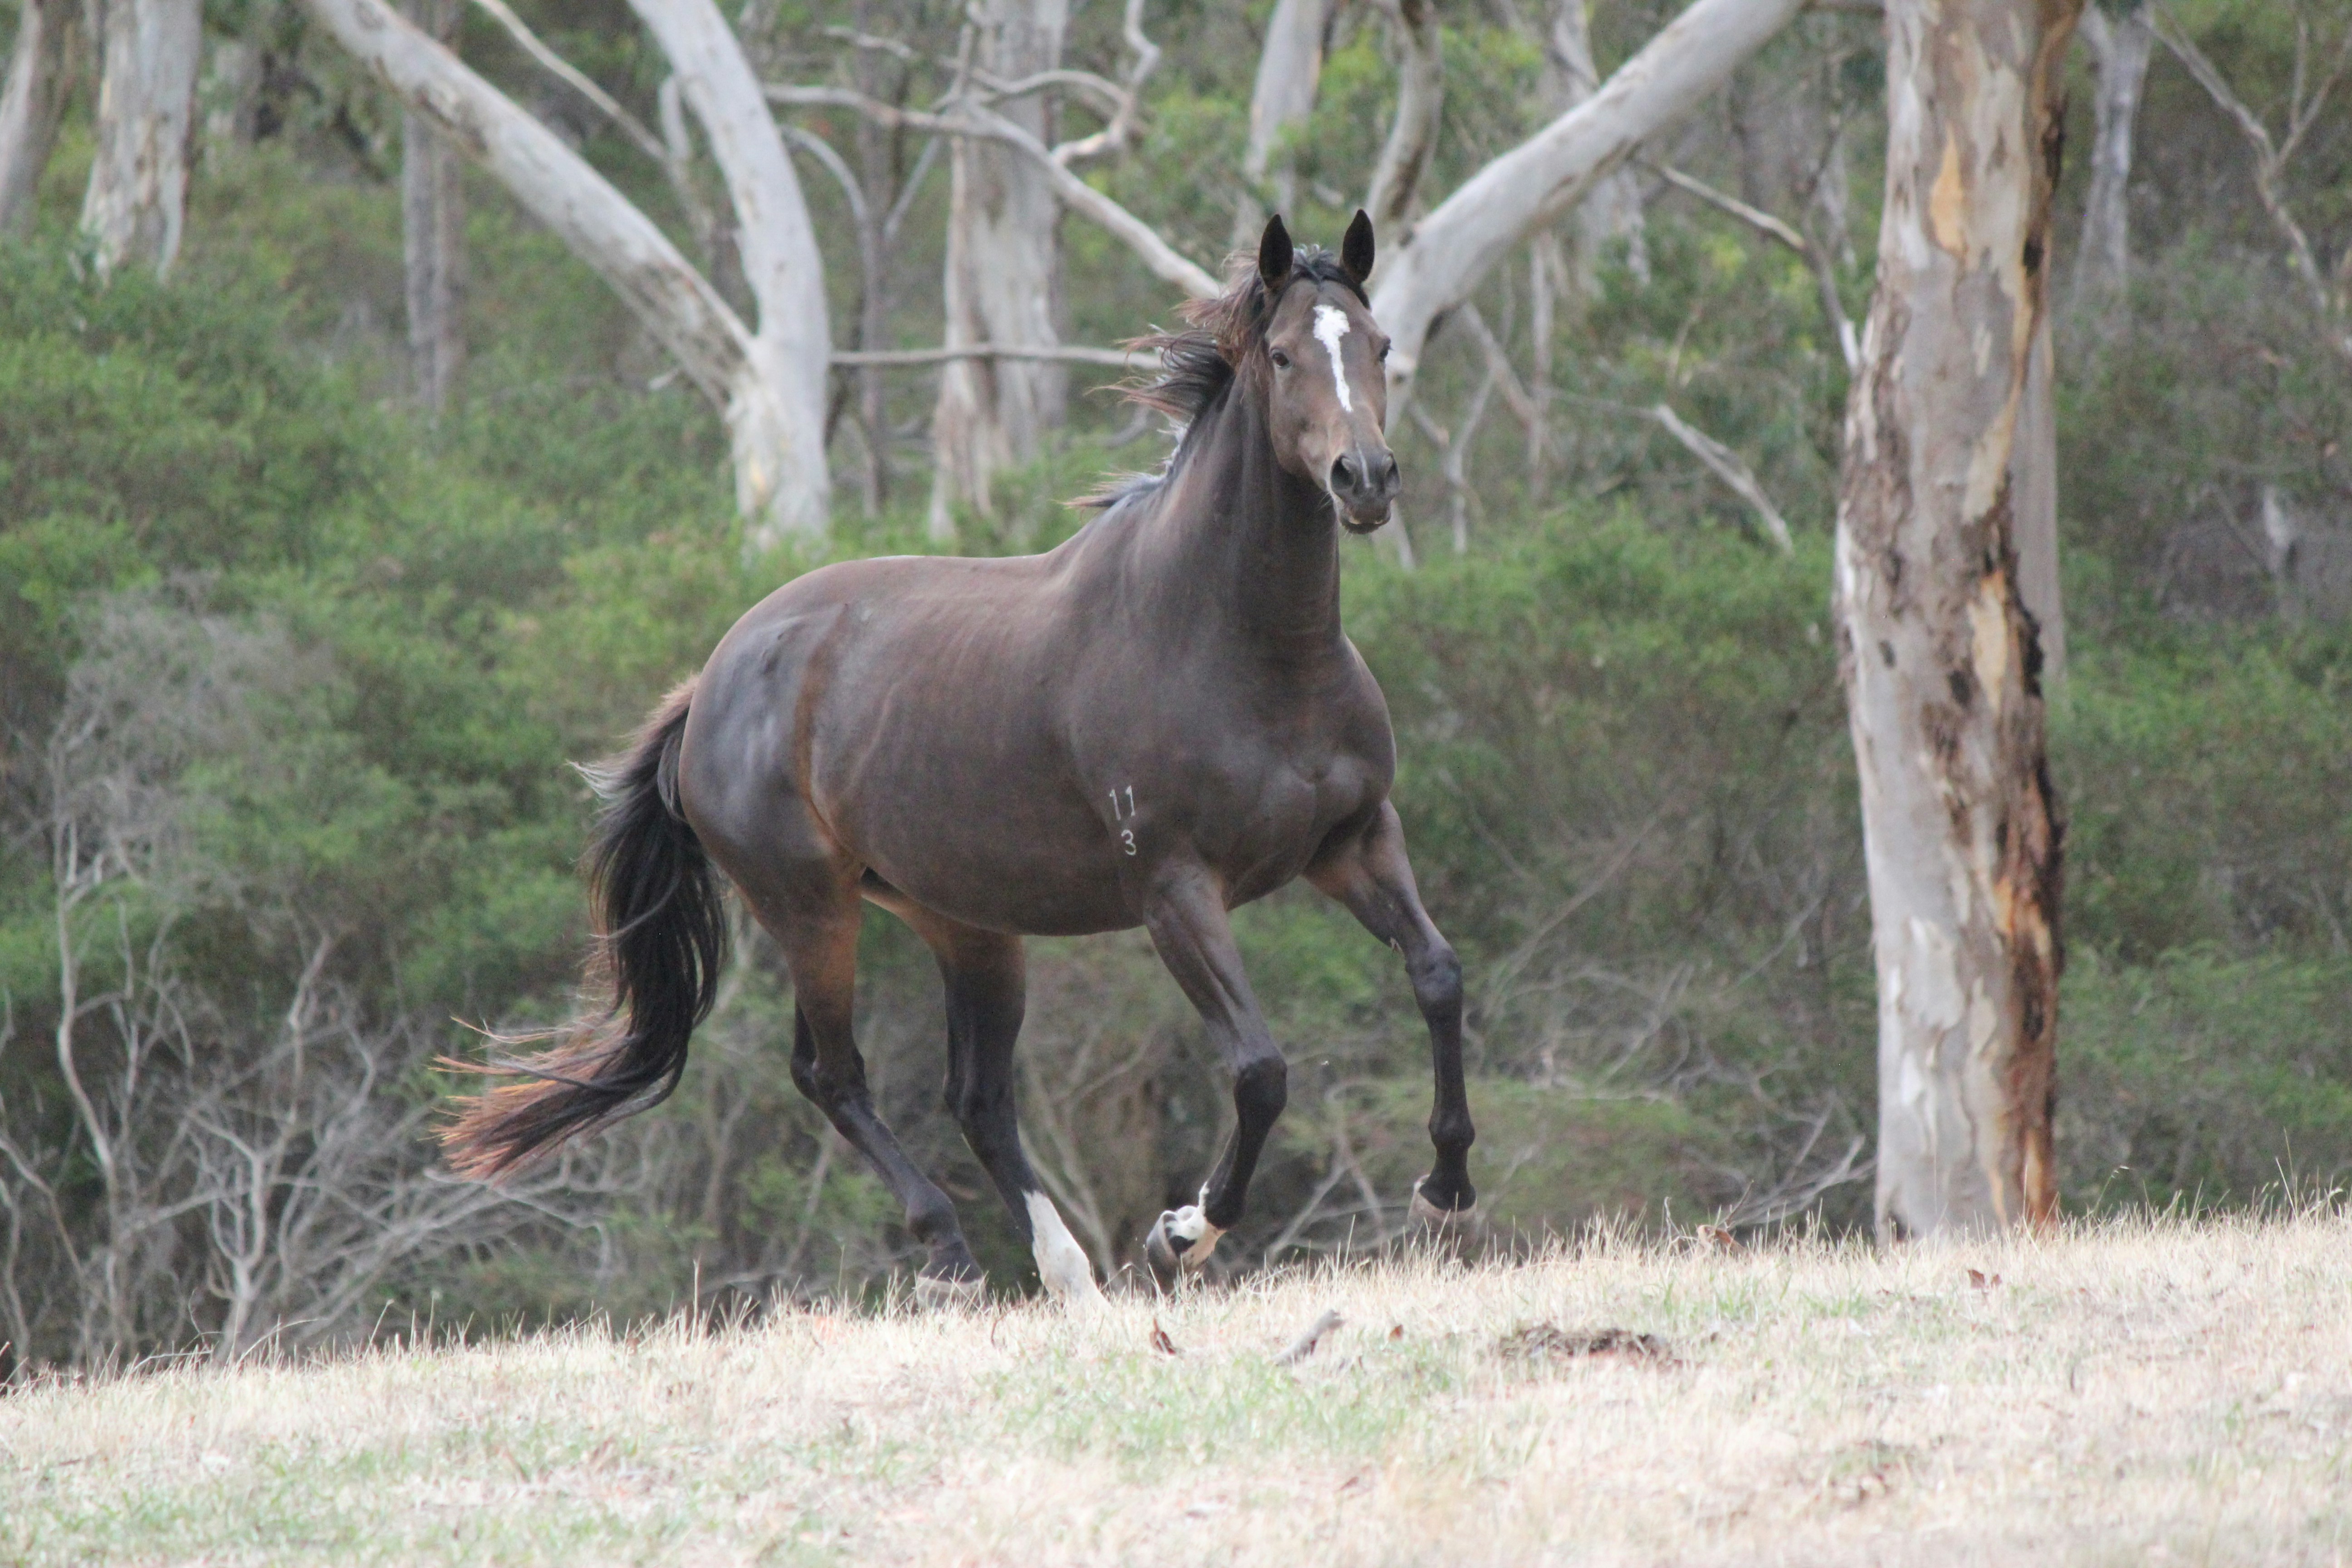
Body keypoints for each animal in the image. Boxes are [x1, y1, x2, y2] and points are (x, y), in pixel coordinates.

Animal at [444, 212, 1477, 1306]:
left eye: (1379, 346)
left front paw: (1446, 1192)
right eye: (1281, 356)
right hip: (810, 908)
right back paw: (950, 1256)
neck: (1243, 646)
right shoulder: (1177, 890)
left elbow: (1438, 977)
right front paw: (1184, 1233)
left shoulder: (1354, 841)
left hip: (967, 924)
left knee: (977, 1098)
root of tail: (711, 686)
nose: (1364, 480)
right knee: (833, 1074)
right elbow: (1258, 1069)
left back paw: (1067, 1275)